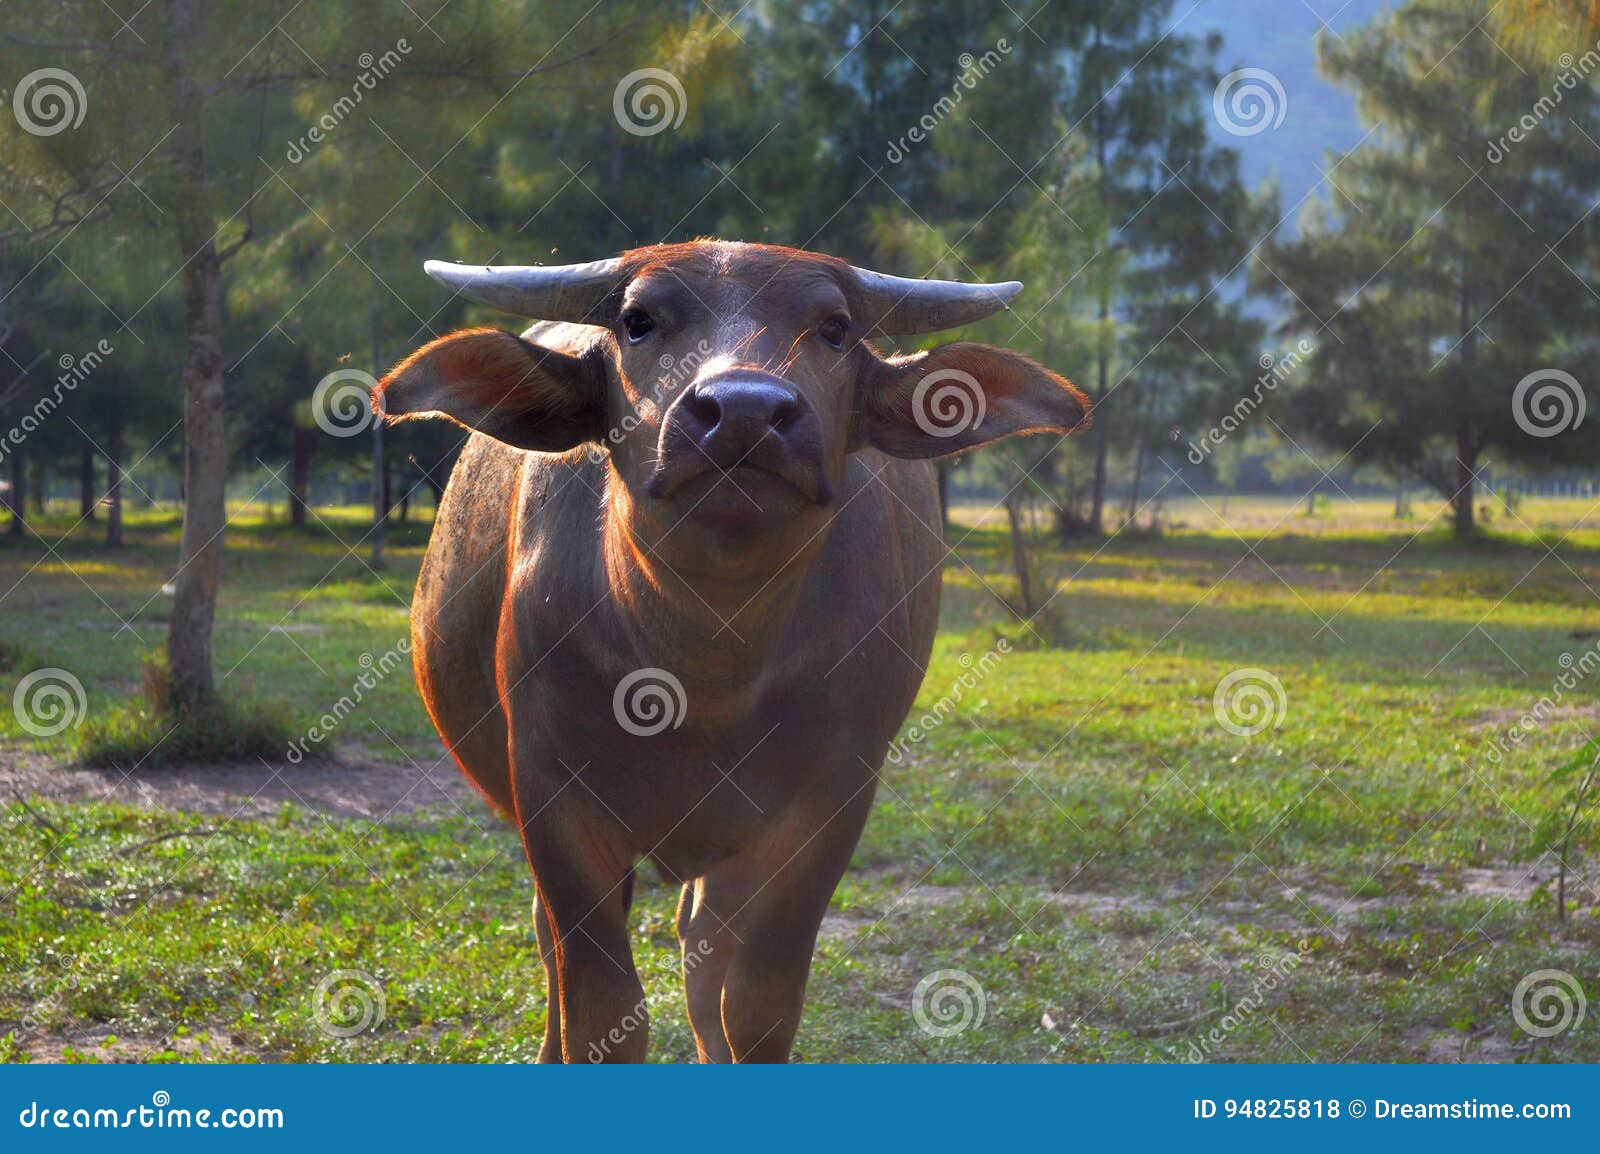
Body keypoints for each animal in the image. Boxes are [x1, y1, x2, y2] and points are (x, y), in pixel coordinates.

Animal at [375, 240, 1090, 1063]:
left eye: (836, 328)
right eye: (638, 320)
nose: (744, 410)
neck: (706, 670)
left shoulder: (830, 803)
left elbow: (757, 1005)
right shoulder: (550, 796)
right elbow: (602, 1008)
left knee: (703, 949)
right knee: (554, 941)